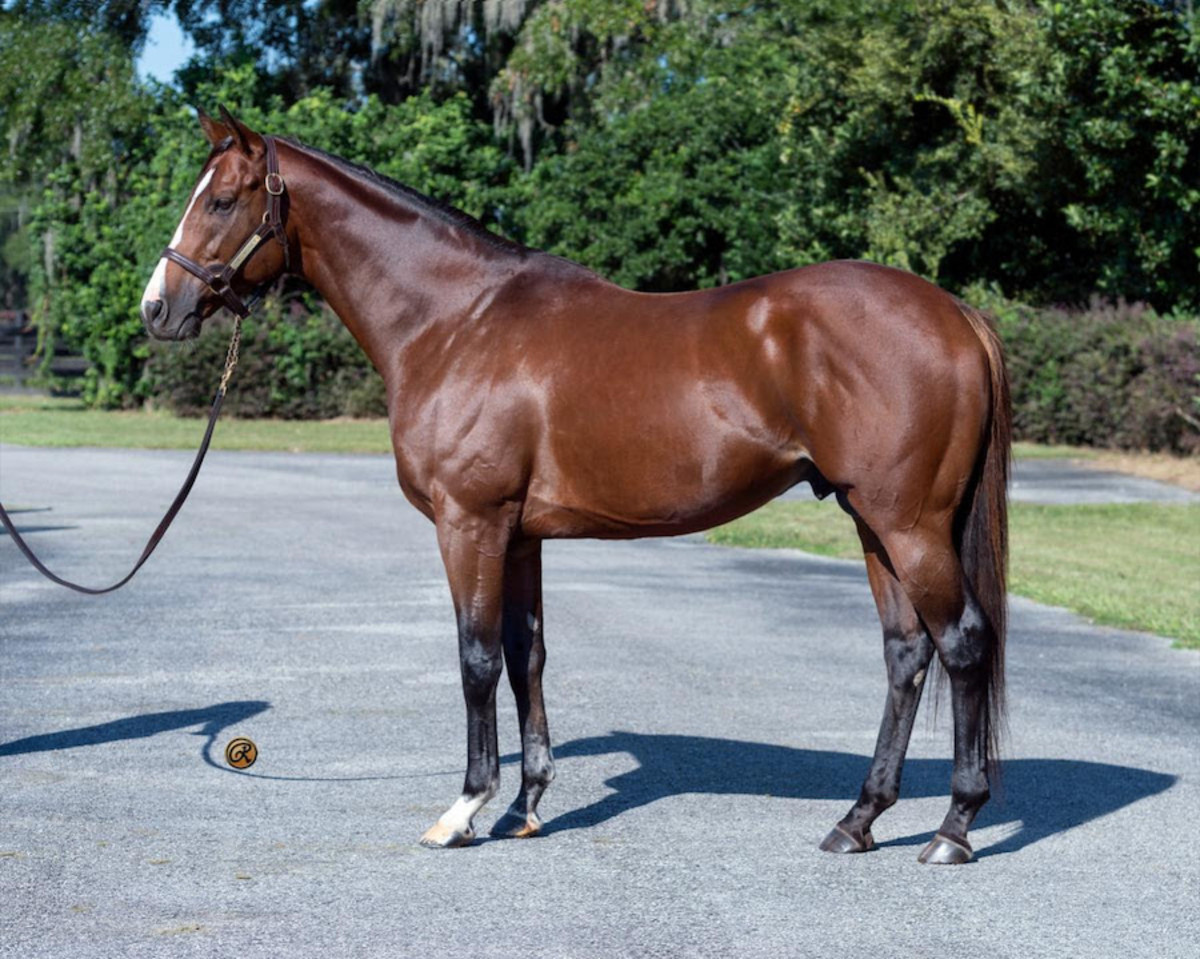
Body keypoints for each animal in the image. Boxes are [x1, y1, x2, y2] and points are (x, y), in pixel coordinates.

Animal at [139, 106, 1011, 865]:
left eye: (221, 199)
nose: (158, 309)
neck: (456, 320)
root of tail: (956, 314)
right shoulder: (520, 533)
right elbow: (526, 653)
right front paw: (525, 805)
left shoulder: (470, 522)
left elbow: (476, 657)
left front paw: (464, 808)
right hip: (874, 524)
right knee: (906, 653)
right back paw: (857, 820)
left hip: (908, 524)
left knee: (964, 642)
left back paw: (952, 829)